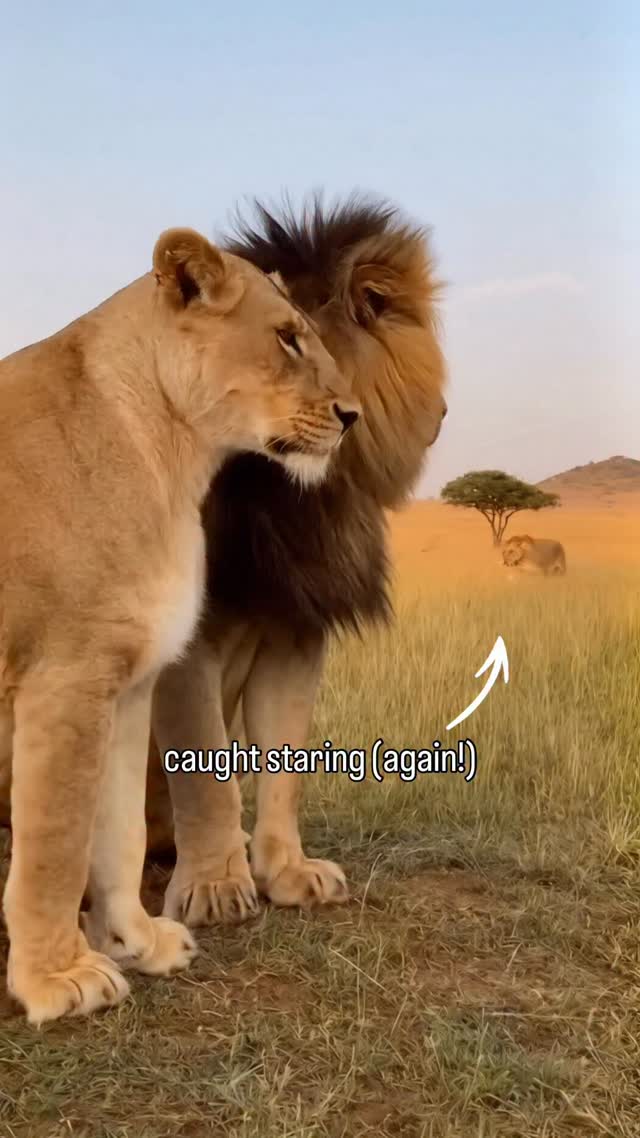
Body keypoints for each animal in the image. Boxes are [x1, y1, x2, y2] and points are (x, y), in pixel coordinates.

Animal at [0, 226, 357, 1023]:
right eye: (287, 338)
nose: (352, 415)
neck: (174, 458)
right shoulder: (66, 678)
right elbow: (57, 840)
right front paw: (59, 978)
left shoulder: (127, 683)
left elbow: (121, 833)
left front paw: (136, 941)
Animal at [143, 196, 447, 925]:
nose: (443, 416)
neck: (292, 491)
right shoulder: (186, 636)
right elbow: (206, 769)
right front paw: (216, 886)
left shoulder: (295, 625)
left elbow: (285, 761)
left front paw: (286, 872)